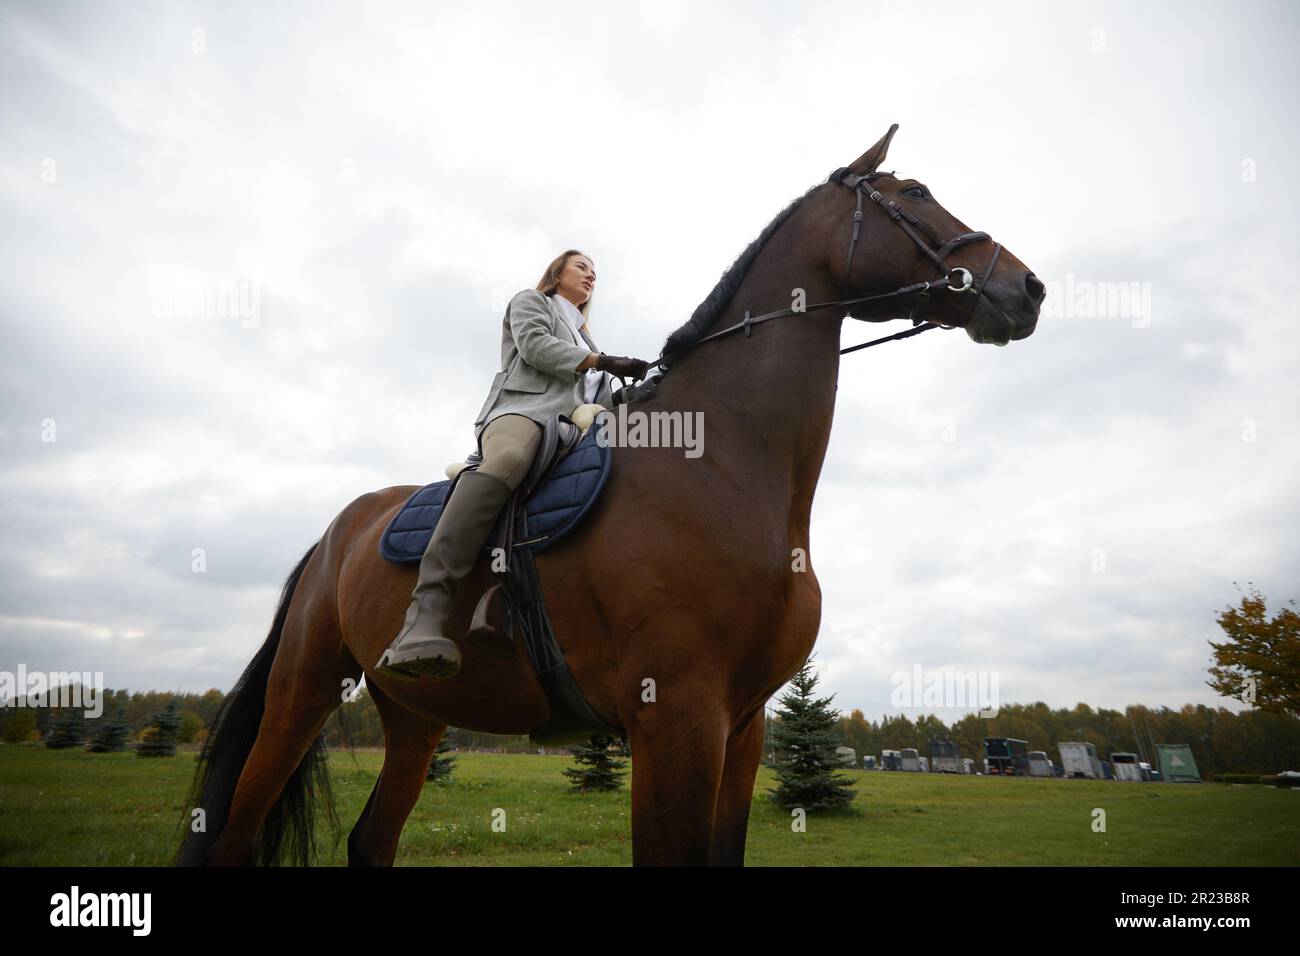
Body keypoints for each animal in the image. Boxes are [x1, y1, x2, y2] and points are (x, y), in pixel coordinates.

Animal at [176, 124, 1044, 867]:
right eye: (918, 192)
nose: (1027, 288)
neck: (722, 466)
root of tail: (336, 533)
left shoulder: (743, 728)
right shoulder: (677, 720)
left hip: (417, 717)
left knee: (372, 838)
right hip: (303, 692)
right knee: (237, 833)